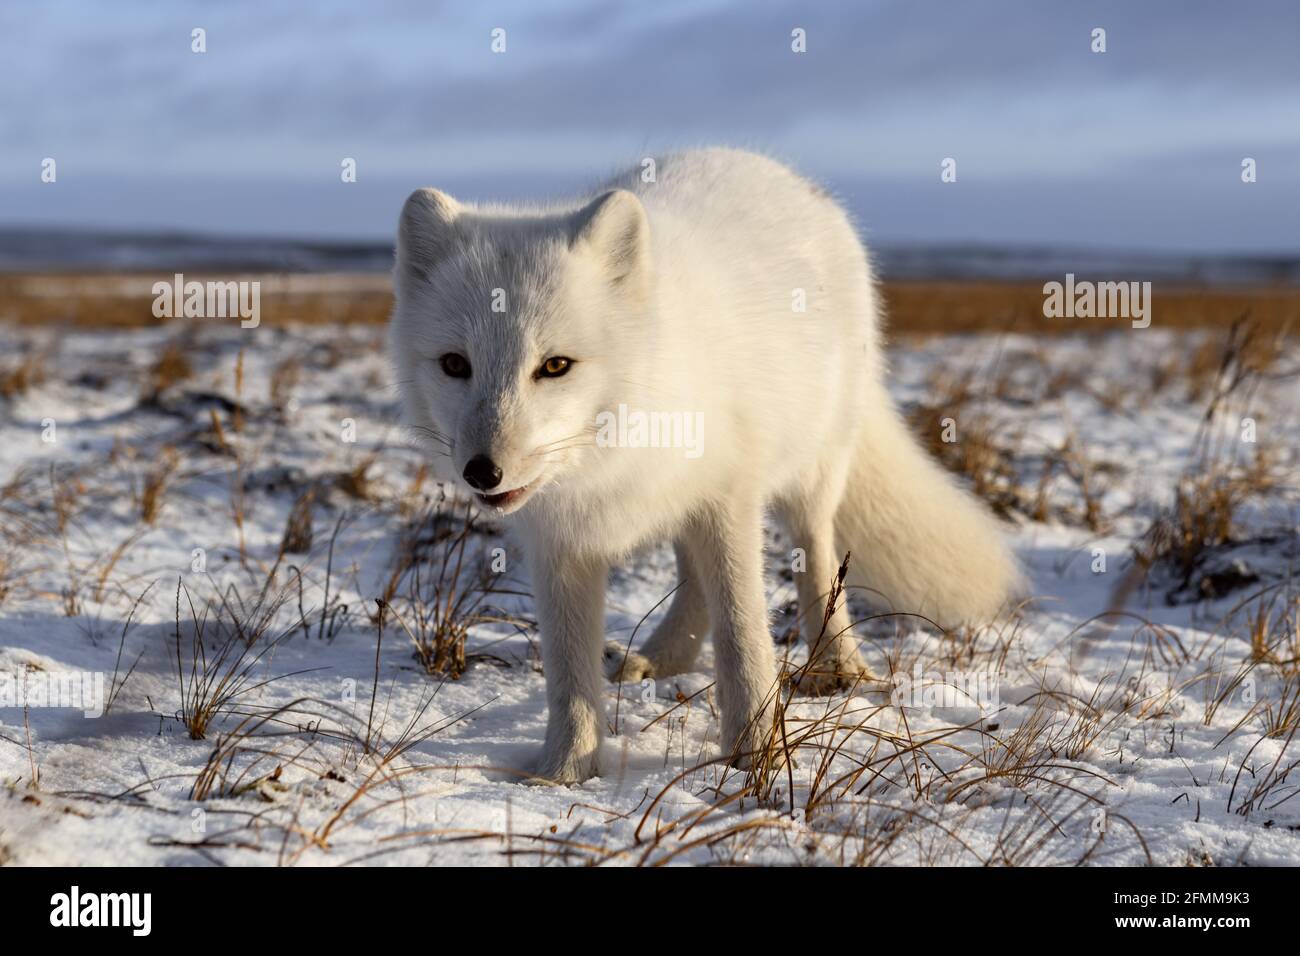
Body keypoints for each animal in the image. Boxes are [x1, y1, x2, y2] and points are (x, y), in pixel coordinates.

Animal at [389, 148, 1020, 784]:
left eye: (555, 366)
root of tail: (770, 166)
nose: (482, 472)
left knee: (816, 555)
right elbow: (569, 674)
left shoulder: (729, 498)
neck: (610, 461)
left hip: (809, 471)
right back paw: (661, 657)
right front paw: (565, 770)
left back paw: (835, 665)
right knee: (691, 577)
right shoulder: (563, 543)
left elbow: (743, 636)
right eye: (454, 364)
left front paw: (756, 757)